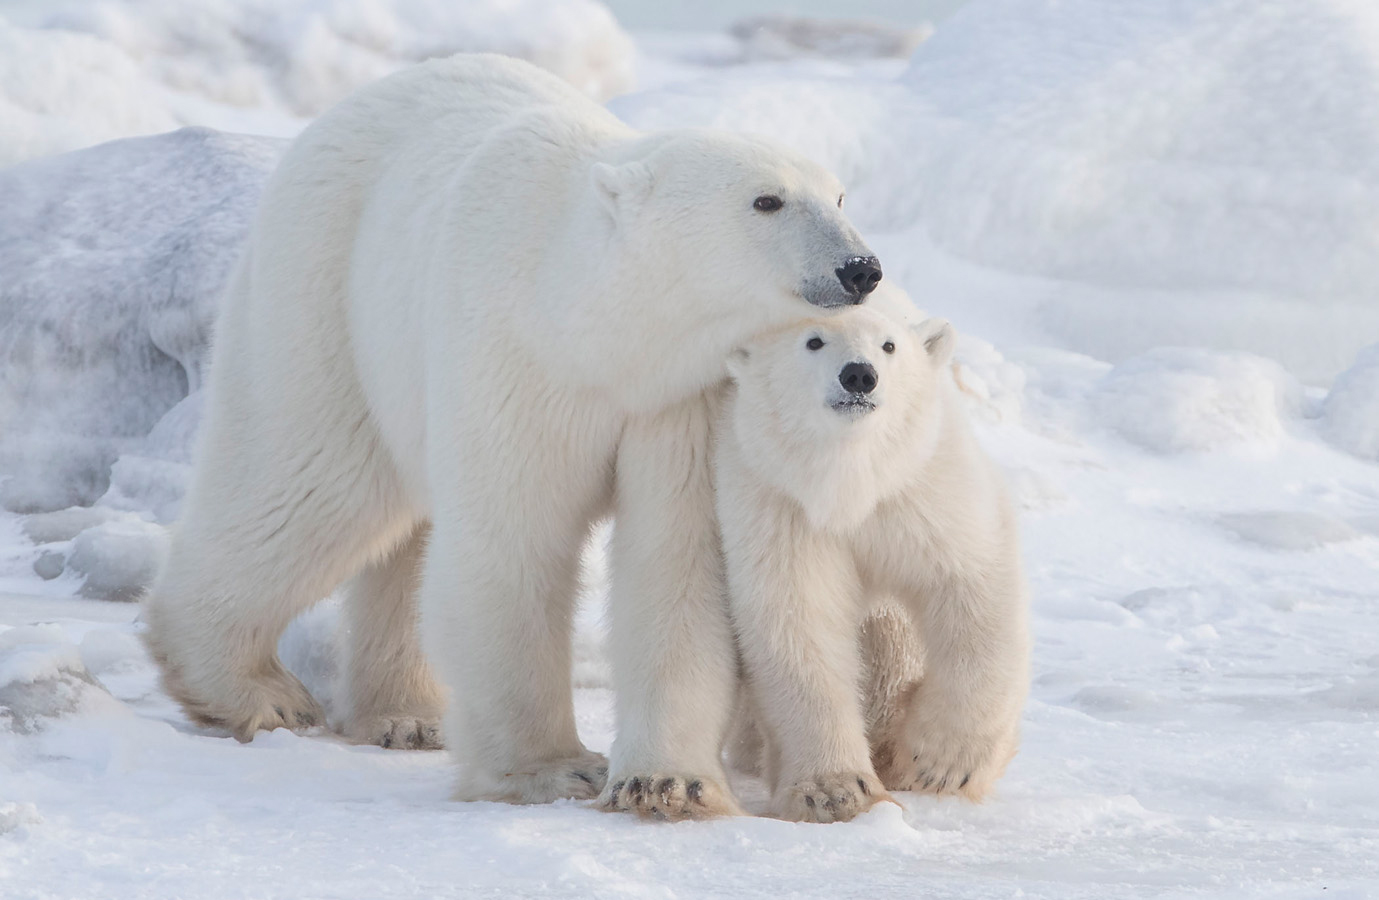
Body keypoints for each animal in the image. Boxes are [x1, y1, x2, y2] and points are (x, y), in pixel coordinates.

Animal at [140, 53, 883, 820]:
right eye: (767, 200)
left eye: (838, 196)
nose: (861, 268)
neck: (588, 323)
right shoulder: (514, 358)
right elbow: (516, 543)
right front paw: (552, 770)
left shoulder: (681, 399)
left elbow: (680, 560)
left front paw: (665, 782)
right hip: (322, 295)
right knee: (309, 483)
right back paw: (253, 689)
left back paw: (407, 714)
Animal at [713, 296, 1029, 823]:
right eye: (813, 340)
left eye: (889, 345)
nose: (859, 375)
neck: (852, 480)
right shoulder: (779, 503)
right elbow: (799, 622)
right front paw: (834, 792)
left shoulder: (922, 489)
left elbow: (973, 588)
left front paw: (942, 764)